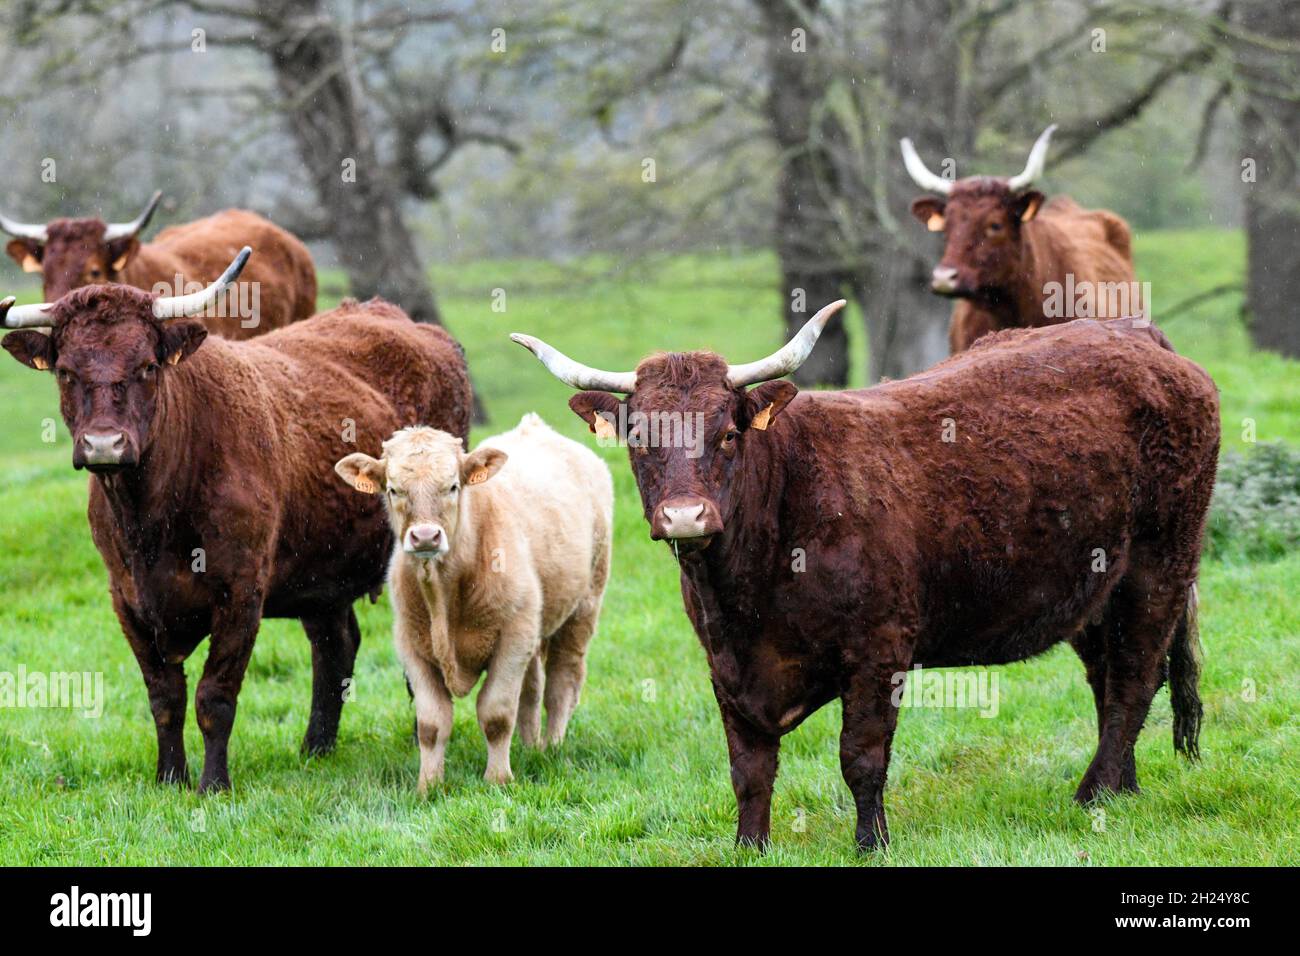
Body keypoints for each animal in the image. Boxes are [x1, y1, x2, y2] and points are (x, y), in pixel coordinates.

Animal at [1, 252, 471, 792]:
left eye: (146, 366)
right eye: (64, 371)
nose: (104, 444)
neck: (151, 521)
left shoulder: (241, 592)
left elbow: (214, 698)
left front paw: (213, 785)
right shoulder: (127, 598)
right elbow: (164, 698)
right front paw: (170, 779)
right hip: (320, 572)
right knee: (334, 644)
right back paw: (316, 748)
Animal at [335, 414, 613, 790]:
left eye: (453, 486)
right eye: (393, 489)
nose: (425, 536)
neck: (443, 594)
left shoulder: (513, 637)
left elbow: (496, 713)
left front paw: (497, 779)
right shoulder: (412, 645)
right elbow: (431, 723)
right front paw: (429, 786)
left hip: (583, 607)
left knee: (561, 682)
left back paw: (552, 747)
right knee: (532, 690)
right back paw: (531, 748)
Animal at [512, 301, 1218, 851]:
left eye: (728, 433)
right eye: (640, 438)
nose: (685, 516)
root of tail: (1138, 337)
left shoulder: (878, 651)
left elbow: (861, 756)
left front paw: (871, 843)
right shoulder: (725, 665)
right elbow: (748, 767)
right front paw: (749, 846)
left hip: (1159, 565)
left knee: (1134, 679)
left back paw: (1093, 796)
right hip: (1094, 589)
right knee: (1111, 677)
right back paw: (1123, 788)